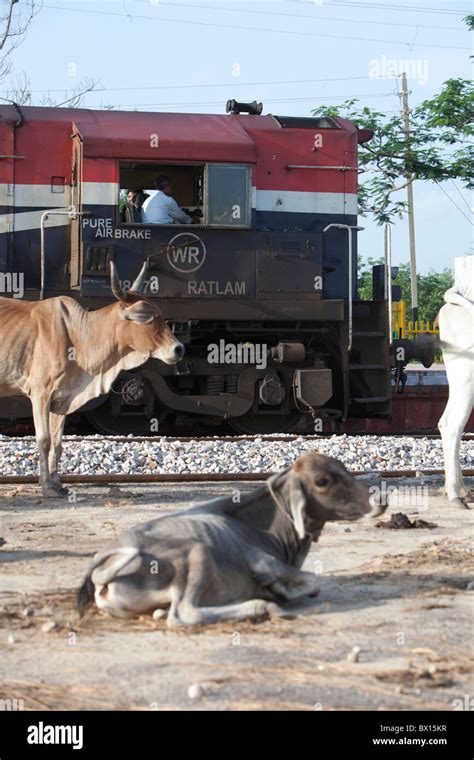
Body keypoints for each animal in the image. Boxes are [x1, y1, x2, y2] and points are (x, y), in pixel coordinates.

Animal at [0, 263, 184, 497]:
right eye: (146, 316)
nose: (179, 349)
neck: (77, 337)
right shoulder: (40, 393)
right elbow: (44, 440)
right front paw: (47, 487)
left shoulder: (61, 399)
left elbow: (57, 444)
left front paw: (57, 483)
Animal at [77, 452, 377, 627]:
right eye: (322, 480)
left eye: (343, 467)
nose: (377, 498)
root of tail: (99, 569)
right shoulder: (261, 560)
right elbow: (313, 582)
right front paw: (277, 590)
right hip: (198, 552)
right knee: (183, 614)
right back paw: (262, 606)